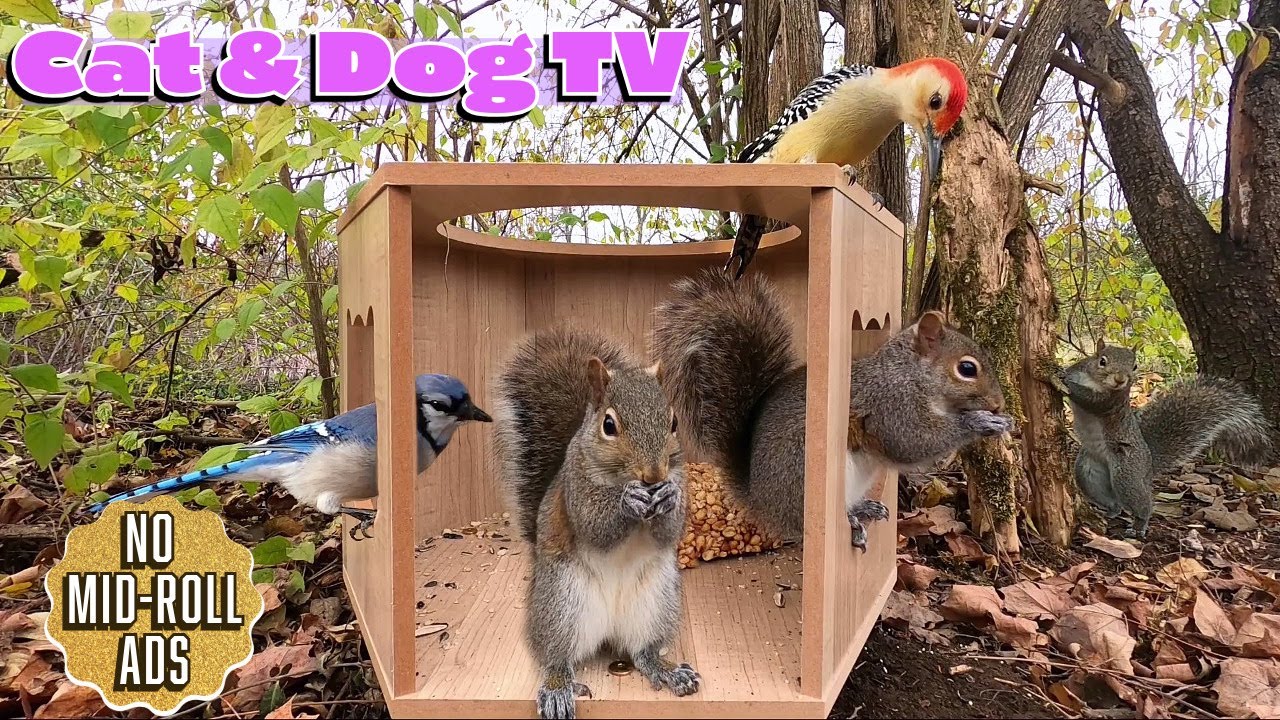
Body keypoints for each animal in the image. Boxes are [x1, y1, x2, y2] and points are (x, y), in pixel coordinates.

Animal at [491, 326, 700, 720]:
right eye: (609, 425)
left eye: (674, 422)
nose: (654, 475)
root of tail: (609, 630)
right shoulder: (576, 488)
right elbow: (595, 525)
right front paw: (627, 501)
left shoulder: (679, 474)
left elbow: (671, 528)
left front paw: (668, 498)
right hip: (563, 604)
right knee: (556, 656)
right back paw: (557, 689)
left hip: (655, 604)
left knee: (644, 651)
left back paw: (667, 670)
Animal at [649, 268, 1014, 550]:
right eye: (966, 369)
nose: (999, 404)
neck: (911, 374)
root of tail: (762, 503)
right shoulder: (891, 405)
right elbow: (911, 442)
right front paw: (980, 422)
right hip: (803, 473)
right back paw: (851, 522)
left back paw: (864, 509)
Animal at [1044, 340, 1274, 539]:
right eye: (1102, 360)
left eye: (1135, 366)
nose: (1120, 380)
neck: (1095, 381)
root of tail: (1149, 464)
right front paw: (1059, 370)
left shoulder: (1111, 402)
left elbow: (1088, 398)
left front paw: (1060, 378)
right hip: (1089, 473)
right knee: (1114, 501)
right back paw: (1109, 512)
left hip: (1128, 472)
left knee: (1141, 502)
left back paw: (1139, 526)